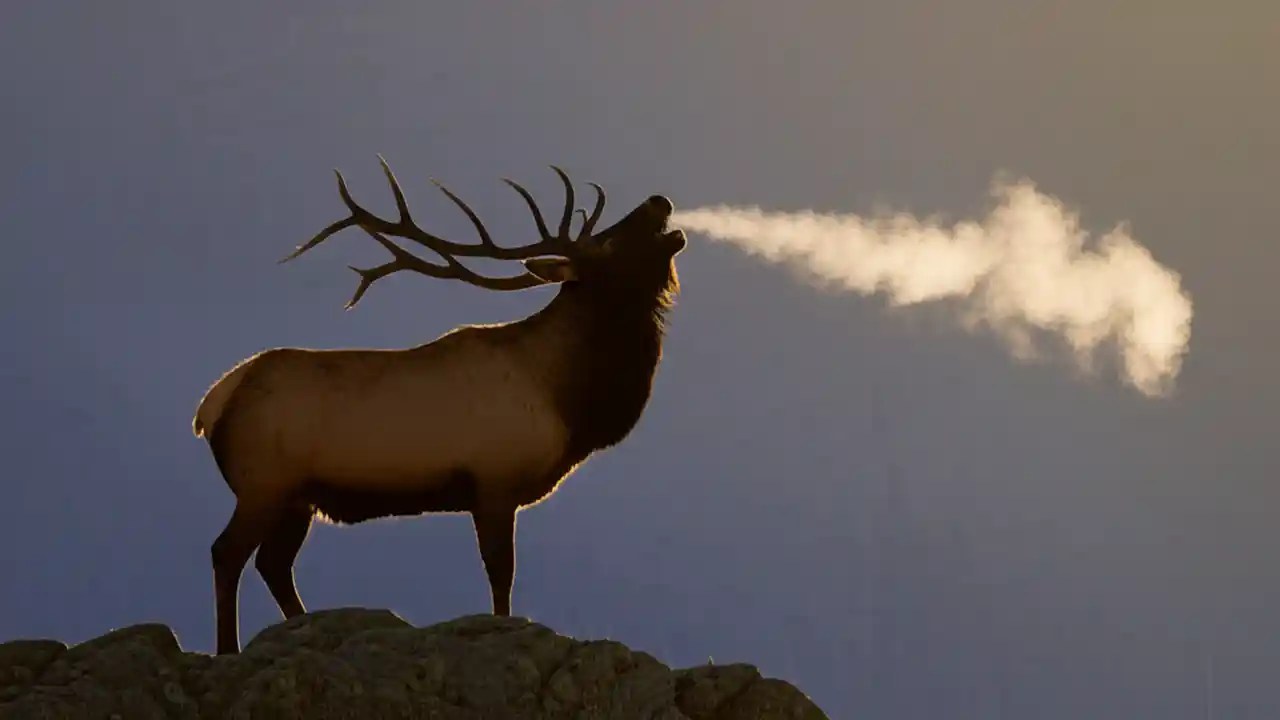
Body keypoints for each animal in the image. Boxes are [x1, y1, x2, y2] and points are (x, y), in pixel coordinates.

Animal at [192, 157, 686, 654]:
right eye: (608, 241)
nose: (659, 199)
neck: (566, 397)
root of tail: (211, 405)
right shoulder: (494, 480)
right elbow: (501, 575)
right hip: (263, 483)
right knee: (227, 553)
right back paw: (227, 648)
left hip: (297, 498)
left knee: (273, 564)